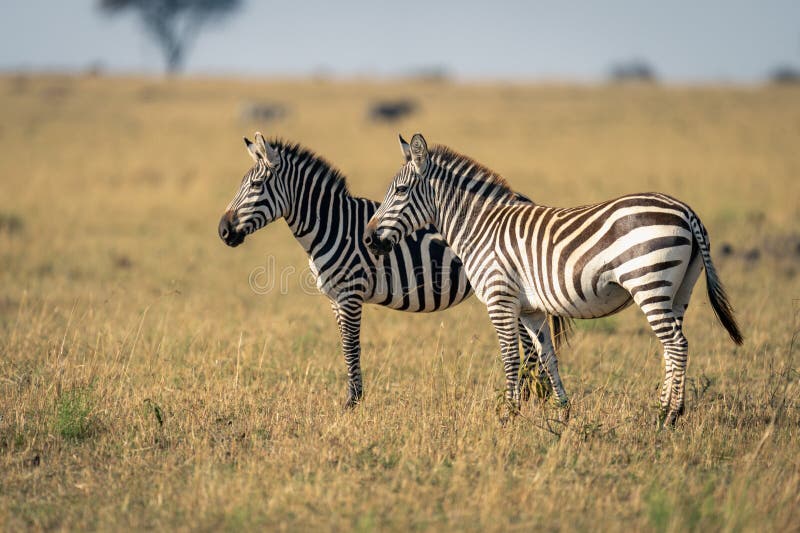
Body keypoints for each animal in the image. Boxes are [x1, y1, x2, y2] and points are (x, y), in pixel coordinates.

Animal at [217, 133, 568, 408]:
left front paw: (352, 402)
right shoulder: (334, 299)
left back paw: (533, 396)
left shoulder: (350, 294)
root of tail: (523, 199)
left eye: (257, 184)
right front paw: (353, 397)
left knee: (528, 346)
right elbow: (344, 346)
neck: (330, 226)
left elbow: (351, 347)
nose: (222, 231)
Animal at [364, 133, 743, 425]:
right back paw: (662, 409)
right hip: (678, 291)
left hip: (648, 282)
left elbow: (511, 357)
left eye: (400, 191)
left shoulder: (500, 300)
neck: (481, 227)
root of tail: (687, 212)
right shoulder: (530, 309)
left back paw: (670, 416)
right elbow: (547, 357)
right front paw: (563, 413)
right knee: (671, 346)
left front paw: (509, 415)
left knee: (677, 344)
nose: (368, 239)